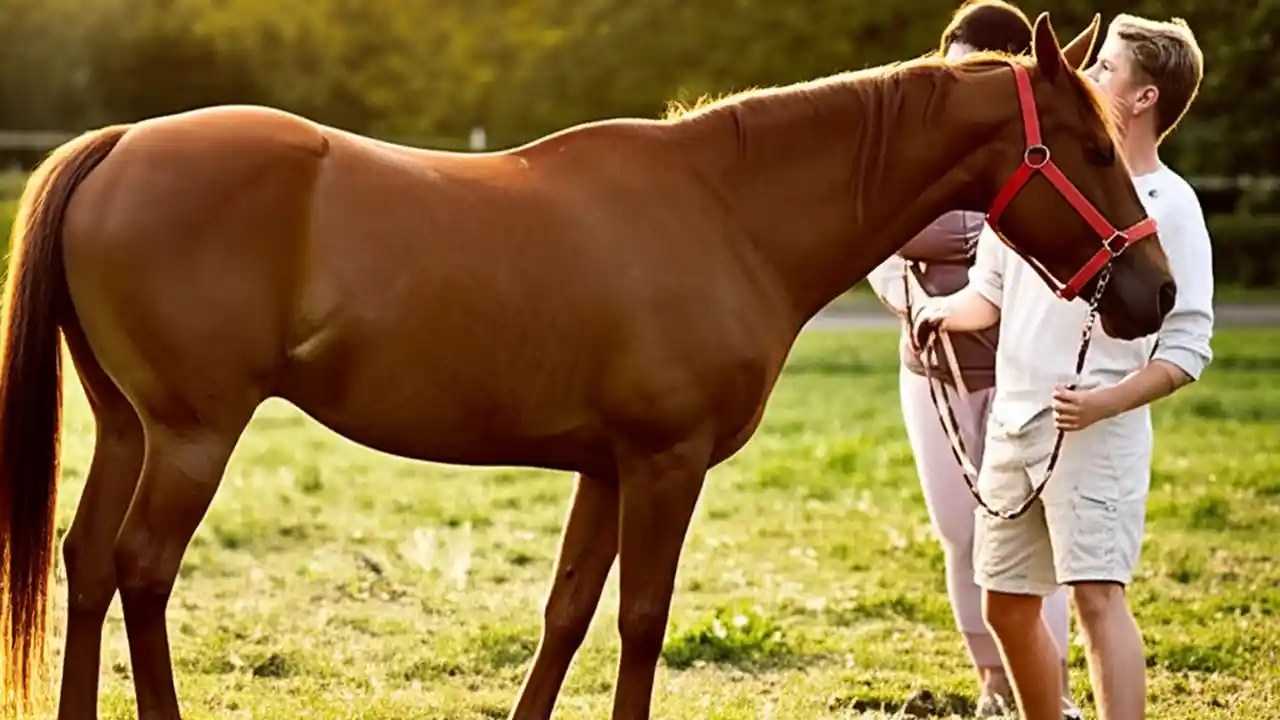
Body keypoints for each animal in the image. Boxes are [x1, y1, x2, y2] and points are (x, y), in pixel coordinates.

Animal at [1, 12, 1173, 720]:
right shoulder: (663, 466)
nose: (1153, 294)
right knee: (143, 570)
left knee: (90, 565)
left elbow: (565, 615)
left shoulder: (604, 471)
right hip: (193, 436)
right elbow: (641, 622)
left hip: (128, 429)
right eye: (1091, 150)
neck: (725, 213)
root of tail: (119, 143)